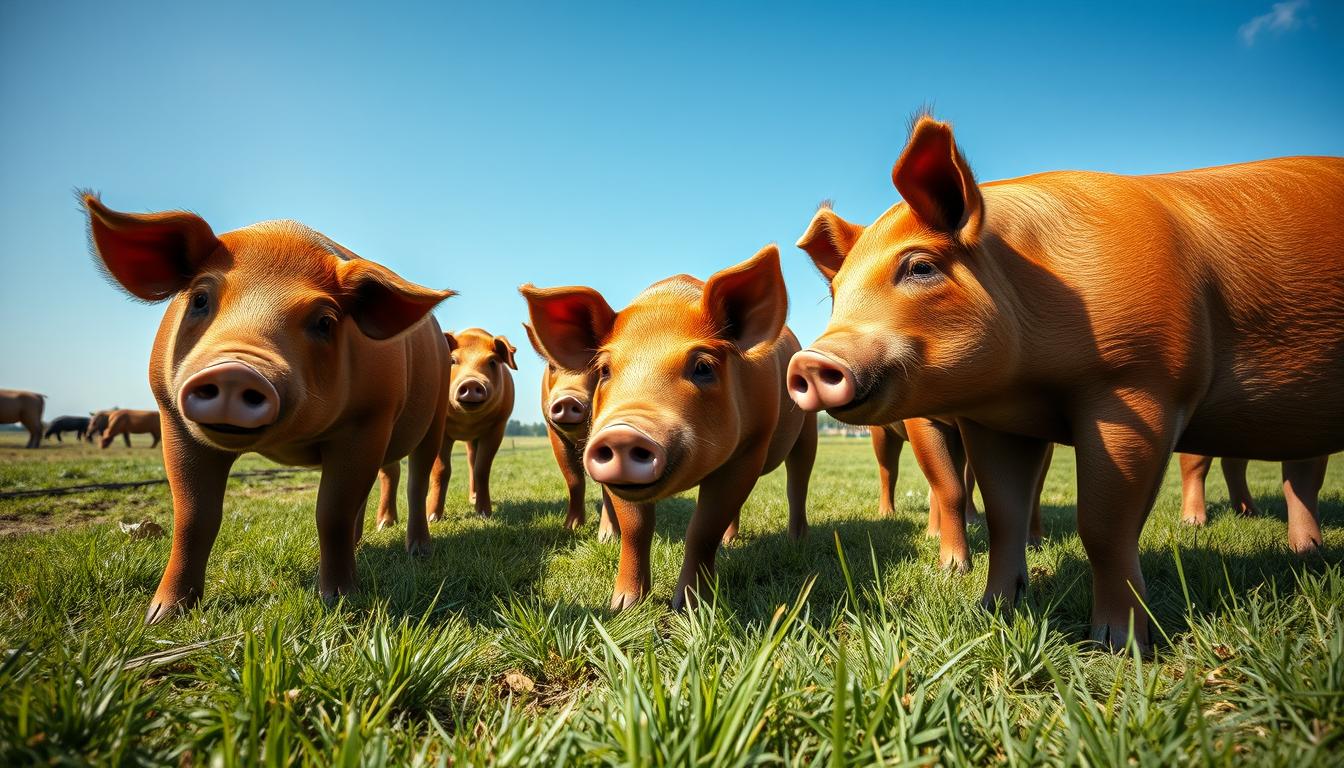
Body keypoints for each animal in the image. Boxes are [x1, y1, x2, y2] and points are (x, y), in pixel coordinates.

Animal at [82, 194, 455, 623]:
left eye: (325, 321)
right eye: (200, 298)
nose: (234, 371)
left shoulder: (368, 420)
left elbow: (331, 511)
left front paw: (338, 600)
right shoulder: (171, 416)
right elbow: (194, 515)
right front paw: (161, 616)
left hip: (434, 420)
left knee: (417, 480)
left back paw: (419, 551)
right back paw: (363, 545)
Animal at [375, 328, 516, 526]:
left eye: (492, 362)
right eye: (453, 360)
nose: (471, 382)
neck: (466, 421)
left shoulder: (498, 426)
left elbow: (482, 468)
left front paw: (484, 514)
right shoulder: (441, 430)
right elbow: (441, 470)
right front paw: (432, 517)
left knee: (472, 461)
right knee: (390, 471)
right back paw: (384, 524)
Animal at [524, 324, 619, 539]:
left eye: (599, 368)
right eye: (552, 366)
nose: (568, 399)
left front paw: (607, 539)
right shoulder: (553, 432)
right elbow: (574, 480)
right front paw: (571, 528)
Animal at [1179, 453, 1331, 552]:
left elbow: (1304, 481)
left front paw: (1308, 546)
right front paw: (1307, 548)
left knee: (1231, 464)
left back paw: (1248, 511)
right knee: (1194, 466)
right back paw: (1193, 519)